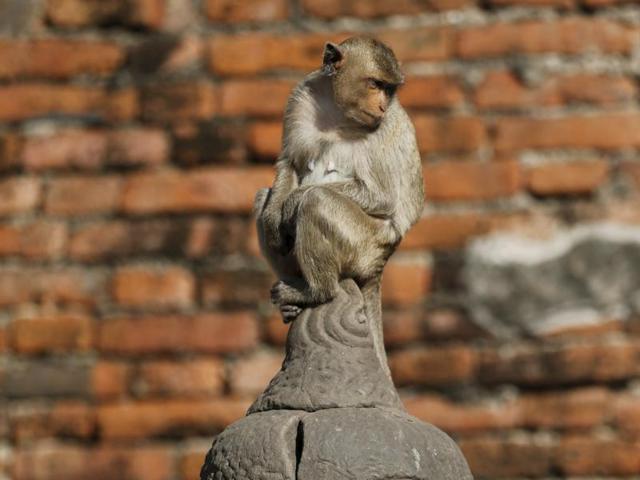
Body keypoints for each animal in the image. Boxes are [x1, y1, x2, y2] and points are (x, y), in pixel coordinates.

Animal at [255, 37, 424, 331]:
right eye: (375, 84)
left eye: (389, 89)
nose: (382, 106)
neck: (339, 114)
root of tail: (381, 262)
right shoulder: (300, 97)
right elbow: (290, 162)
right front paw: (275, 216)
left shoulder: (383, 127)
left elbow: (380, 196)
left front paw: (292, 203)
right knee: (264, 197)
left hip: (364, 246)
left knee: (318, 201)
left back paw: (317, 291)